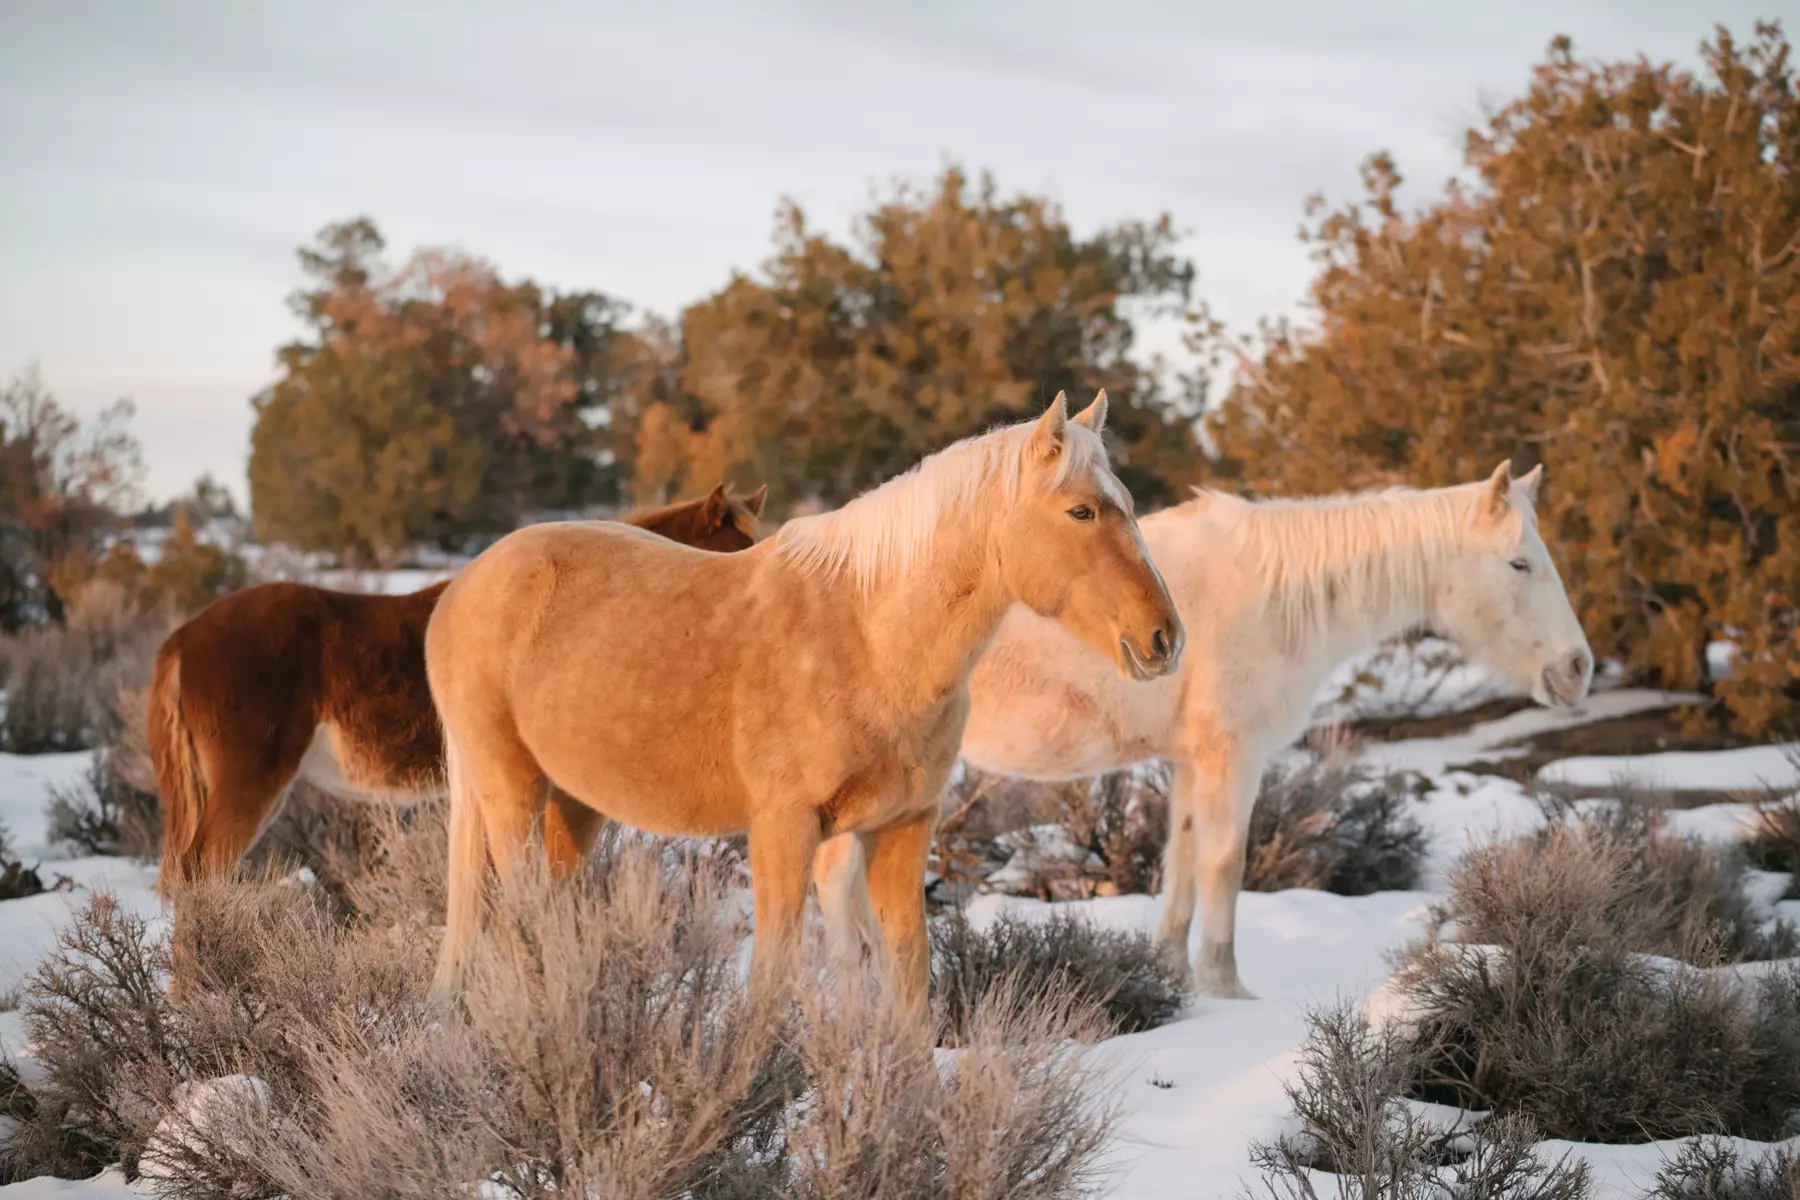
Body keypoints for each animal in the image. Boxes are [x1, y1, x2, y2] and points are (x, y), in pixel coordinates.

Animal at [421, 395, 1180, 1007]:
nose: (1164, 637)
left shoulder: (902, 829)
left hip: (575, 805)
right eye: (1080, 510)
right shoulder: (783, 830)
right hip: (510, 791)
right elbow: (773, 980)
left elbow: (907, 978)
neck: (870, 638)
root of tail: (462, 588)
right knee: (521, 918)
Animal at [817, 464, 1591, 1000]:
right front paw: (1226, 986)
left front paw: (1171, 973)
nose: (1578, 668)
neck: (1277, 595)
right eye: (1519, 562)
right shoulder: (1233, 758)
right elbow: (1225, 864)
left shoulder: (1193, 763)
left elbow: (1183, 861)